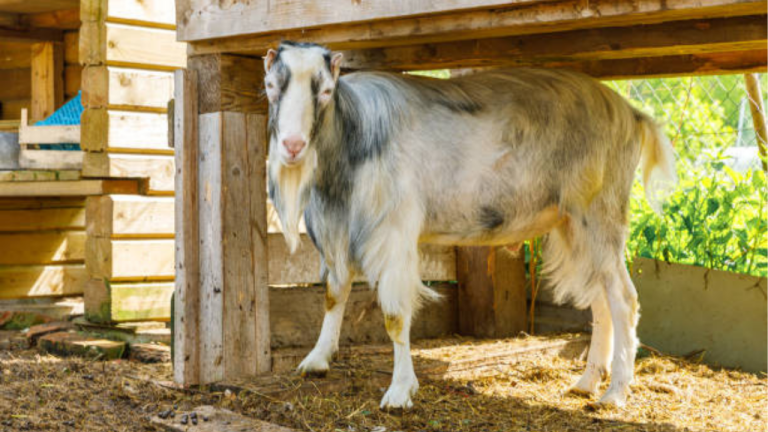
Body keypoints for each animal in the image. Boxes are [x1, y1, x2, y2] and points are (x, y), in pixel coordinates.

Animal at [263, 41, 677, 409]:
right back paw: (587, 382)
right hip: (574, 224)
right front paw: (316, 360)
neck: (356, 133)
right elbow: (334, 295)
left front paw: (399, 392)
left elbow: (395, 316)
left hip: (600, 214)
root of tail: (631, 114)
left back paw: (616, 393)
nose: (293, 146)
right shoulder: (337, 231)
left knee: (623, 298)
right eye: (270, 86)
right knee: (601, 298)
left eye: (326, 91)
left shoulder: (393, 234)